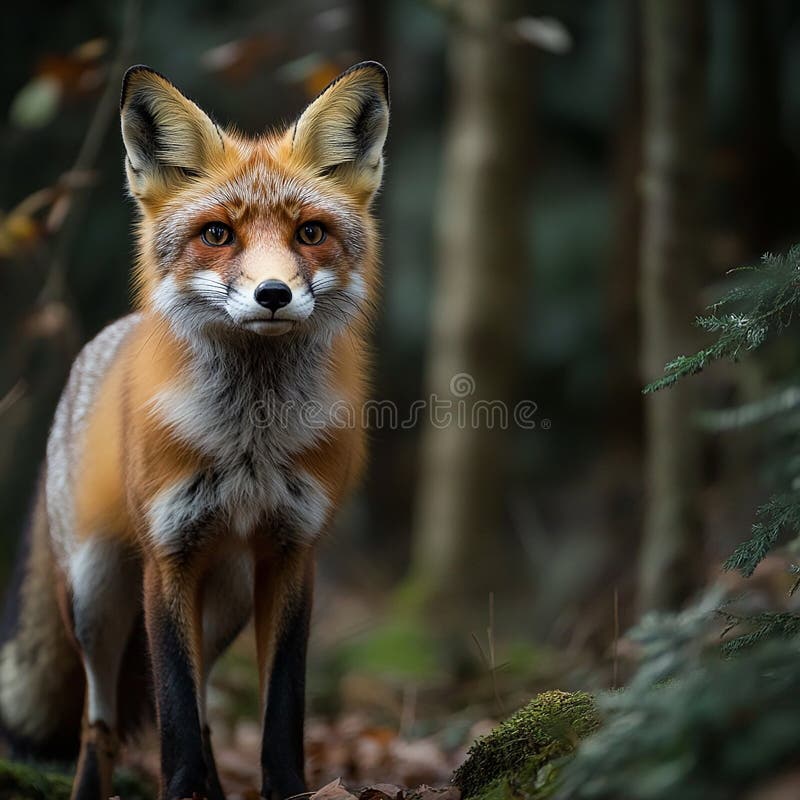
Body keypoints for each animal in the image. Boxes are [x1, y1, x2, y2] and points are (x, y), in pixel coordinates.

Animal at [0, 61, 389, 800]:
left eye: (310, 233)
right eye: (217, 235)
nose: (274, 294)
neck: (250, 440)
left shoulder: (292, 553)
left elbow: (278, 709)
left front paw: (285, 789)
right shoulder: (168, 555)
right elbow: (173, 712)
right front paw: (181, 791)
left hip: (227, 600)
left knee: (208, 706)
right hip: (96, 595)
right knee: (100, 720)